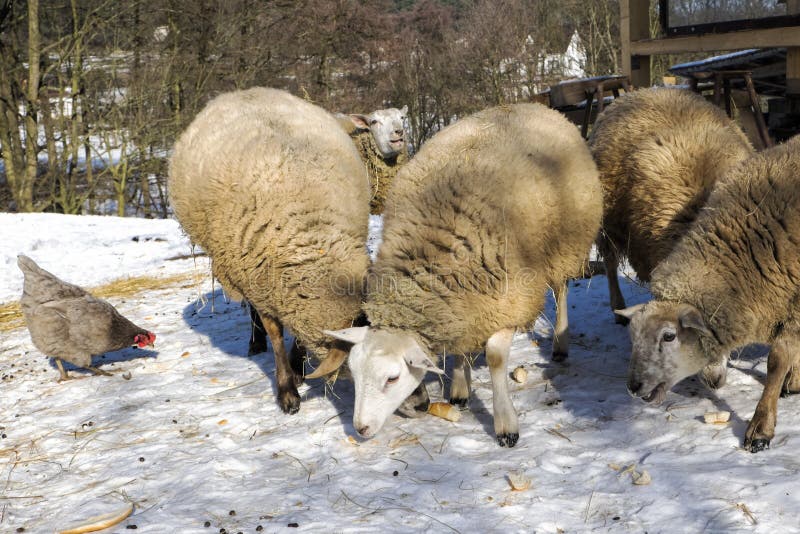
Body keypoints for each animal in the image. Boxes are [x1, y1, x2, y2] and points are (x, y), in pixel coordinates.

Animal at [168, 87, 371, 415]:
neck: (312, 239)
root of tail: (244, 91)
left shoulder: (289, 289)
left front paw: (298, 366)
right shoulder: (262, 277)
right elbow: (275, 334)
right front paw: (287, 390)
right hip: (240, 264)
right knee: (252, 310)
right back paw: (255, 341)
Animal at [325, 103, 603, 447]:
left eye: (392, 378)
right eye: (354, 372)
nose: (360, 429)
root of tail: (532, 104)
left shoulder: (507, 300)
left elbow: (495, 358)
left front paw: (505, 425)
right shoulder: (462, 302)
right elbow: (460, 345)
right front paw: (459, 387)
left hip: (564, 245)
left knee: (561, 288)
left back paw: (561, 344)